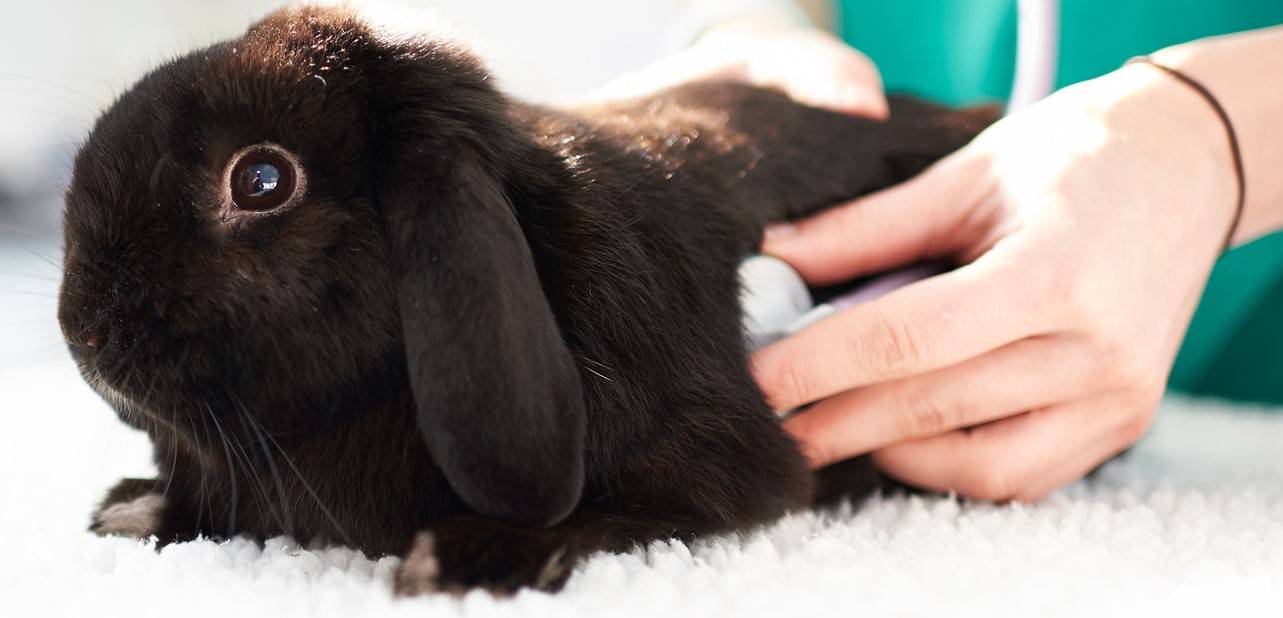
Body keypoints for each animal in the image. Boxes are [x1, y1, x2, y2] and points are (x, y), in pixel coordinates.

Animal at [58, 5, 994, 595]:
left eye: (261, 180)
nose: (82, 332)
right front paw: (133, 509)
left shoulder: (723, 473)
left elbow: (621, 514)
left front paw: (463, 561)